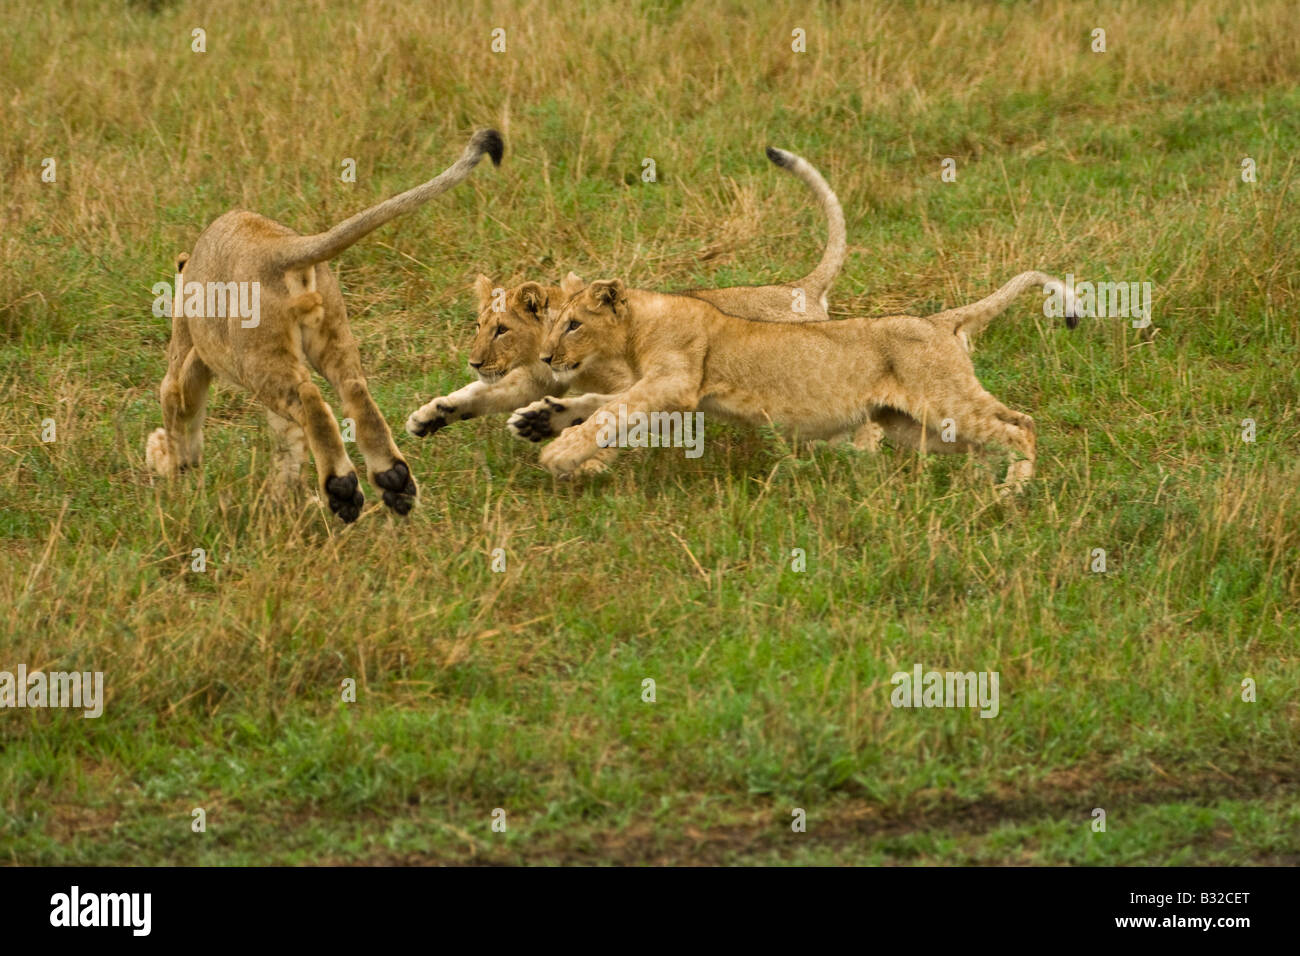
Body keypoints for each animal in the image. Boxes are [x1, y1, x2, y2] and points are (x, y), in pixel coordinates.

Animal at [145, 129, 503, 522]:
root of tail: (282, 247)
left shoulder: (184, 348)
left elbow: (175, 404)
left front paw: (173, 474)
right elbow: (289, 442)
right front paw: (279, 500)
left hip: (256, 359)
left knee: (311, 400)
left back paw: (342, 489)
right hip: (333, 334)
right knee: (354, 391)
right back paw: (394, 482)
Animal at [404, 145, 845, 439]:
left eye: (502, 330)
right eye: (479, 326)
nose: (474, 362)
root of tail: (802, 286)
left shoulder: (626, 379)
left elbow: (605, 404)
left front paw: (545, 421)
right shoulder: (535, 378)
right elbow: (478, 395)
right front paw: (430, 415)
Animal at [511, 272, 1078, 490]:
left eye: (573, 324)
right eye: (552, 321)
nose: (546, 356)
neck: (638, 328)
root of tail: (939, 321)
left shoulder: (676, 383)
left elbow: (611, 409)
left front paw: (560, 454)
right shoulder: (669, 397)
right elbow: (598, 399)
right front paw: (540, 419)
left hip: (945, 404)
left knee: (1022, 425)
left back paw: (1011, 492)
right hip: (913, 425)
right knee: (989, 439)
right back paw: (983, 487)